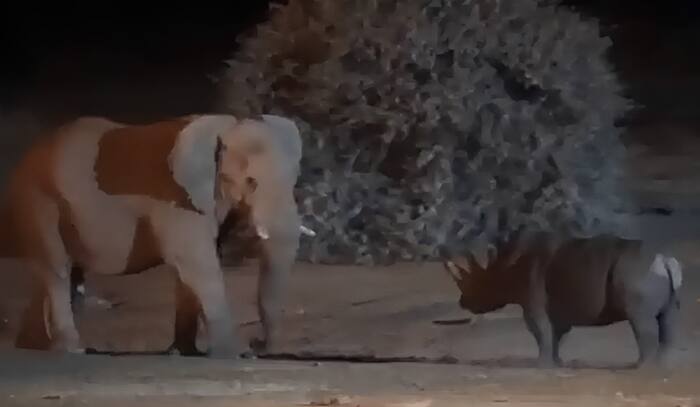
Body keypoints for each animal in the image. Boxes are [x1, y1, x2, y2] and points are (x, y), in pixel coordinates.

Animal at [1, 114, 315, 358]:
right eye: (251, 182)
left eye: (294, 179)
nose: (257, 344)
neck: (224, 127)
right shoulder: (175, 198)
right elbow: (196, 261)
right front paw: (232, 354)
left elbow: (190, 270)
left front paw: (186, 352)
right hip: (37, 199)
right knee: (56, 269)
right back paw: (70, 349)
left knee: (63, 273)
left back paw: (33, 346)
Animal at [442, 231, 683, 369]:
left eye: (478, 285)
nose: (463, 302)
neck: (506, 269)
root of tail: (665, 260)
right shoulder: (558, 308)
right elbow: (557, 334)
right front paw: (557, 363)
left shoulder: (533, 302)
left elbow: (540, 332)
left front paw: (540, 365)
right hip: (647, 273)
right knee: (667, 319)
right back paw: (663, 367)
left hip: (636, 272)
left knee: (641, 320)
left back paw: (641, 367)